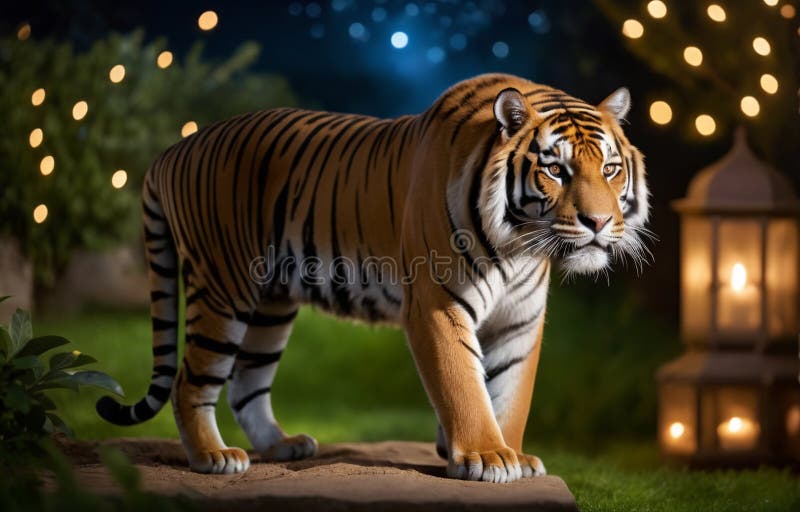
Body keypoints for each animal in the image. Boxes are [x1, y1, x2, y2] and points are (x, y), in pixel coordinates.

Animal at [96, 73, 649, 483]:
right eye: (555, 170)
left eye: (611, 169)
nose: (599, 222)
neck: (520, 247)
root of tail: (175, 148)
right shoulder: (437, 304)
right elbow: (464, 385)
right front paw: (487, 457)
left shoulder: (520, 319)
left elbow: (511, 391)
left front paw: (513, 453)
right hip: (223, 288)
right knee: (190, 381)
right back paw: (213, 457)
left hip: (270, 303)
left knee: (246, 383)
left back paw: (284, 445)